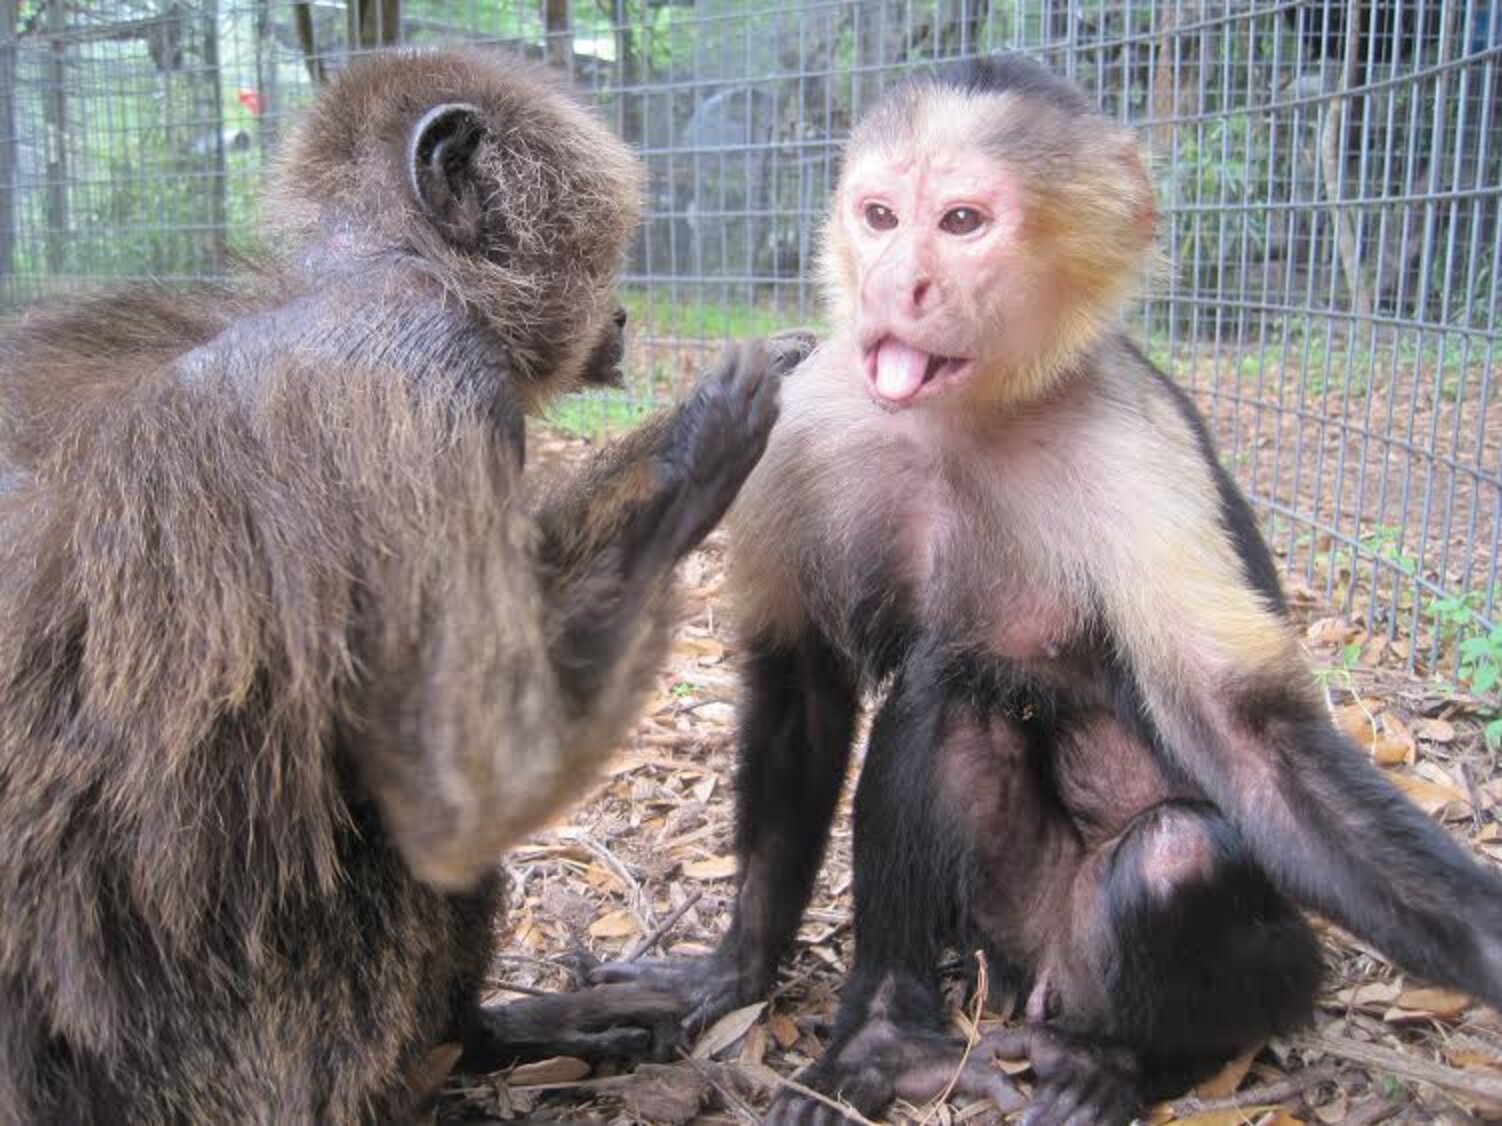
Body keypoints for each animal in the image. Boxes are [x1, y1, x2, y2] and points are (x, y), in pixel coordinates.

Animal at [0, 48, 811, 1124]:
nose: (625, 314)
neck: (380, 272)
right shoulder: (430, 371)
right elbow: (467, 768)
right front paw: (692, 451)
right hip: (257, 1048)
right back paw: (479, 1045)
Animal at [596, 54, 1502, 1124]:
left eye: (961, 223)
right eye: (879, 216)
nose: (897, 282)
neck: (958, 412)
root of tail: (1047, 986)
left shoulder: (1135, 439)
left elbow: (1249, 739)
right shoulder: (805, 416)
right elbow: (803, 692)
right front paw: (736, 967)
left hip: (1246, 966)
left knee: (1175, 857)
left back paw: (1137, 1065)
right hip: (1008, 933)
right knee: (950, 699)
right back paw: (889, 1037)